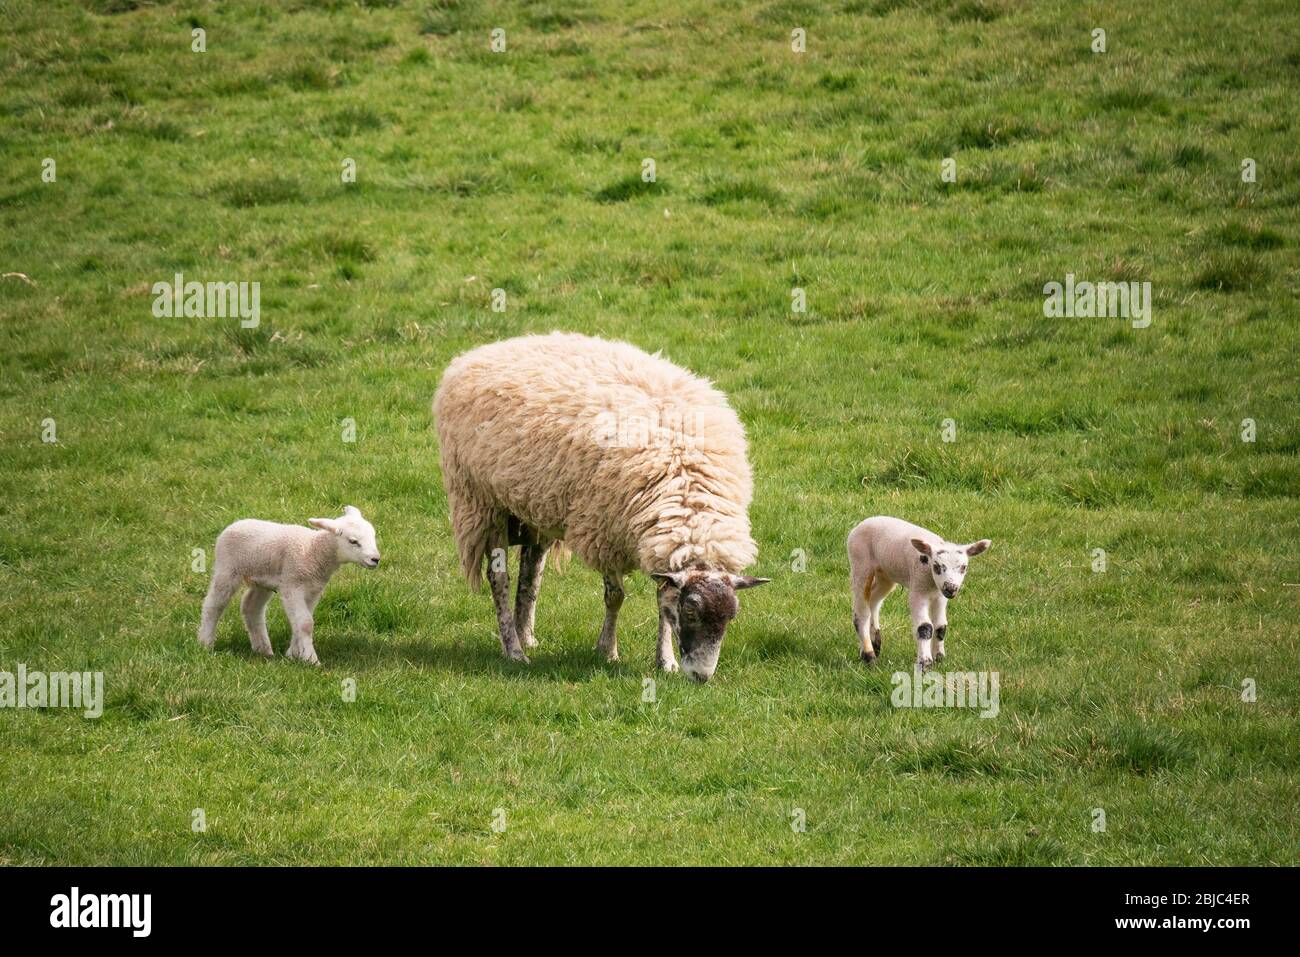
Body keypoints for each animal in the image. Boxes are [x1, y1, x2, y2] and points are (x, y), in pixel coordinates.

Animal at [197, 506, 381, 665]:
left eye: (373, 535)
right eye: (353, 541)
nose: (375, 559)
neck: (313, 550)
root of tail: (235, 523)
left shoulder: (313, 590)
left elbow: (302, 621)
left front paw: (294, 654)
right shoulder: (292, 585)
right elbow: (305, 623)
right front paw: (311, 659)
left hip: (262, 580)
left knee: (251, 607)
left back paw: (263, 649)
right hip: (227, 569)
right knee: (214, 605)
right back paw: (205, 643)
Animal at [432, 332, 769, 682]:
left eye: (730, 617)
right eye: (691, 611)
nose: (701, 677)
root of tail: (483, 351)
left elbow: (662, 600)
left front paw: (665, 661)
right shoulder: (604, 530)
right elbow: (616, 596)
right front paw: (608, 650)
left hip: (534, 505)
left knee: (531, 569)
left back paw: (526, 635)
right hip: (482, 502)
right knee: (500, 578)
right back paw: (514, 650)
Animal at [847, 516, 990, 671]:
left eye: (964, 567)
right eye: (936, 566)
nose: (951, 589)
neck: (932, 583)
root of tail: (862, 523)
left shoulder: (940, 596)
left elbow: (941, 626)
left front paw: (940, 659)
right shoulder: (918, 589)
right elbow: (925, 627)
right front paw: (925, 664)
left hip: (885, 573)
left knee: (873, 600)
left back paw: (875, 645)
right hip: (860, 562)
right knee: (862, 612)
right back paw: (869, 657)